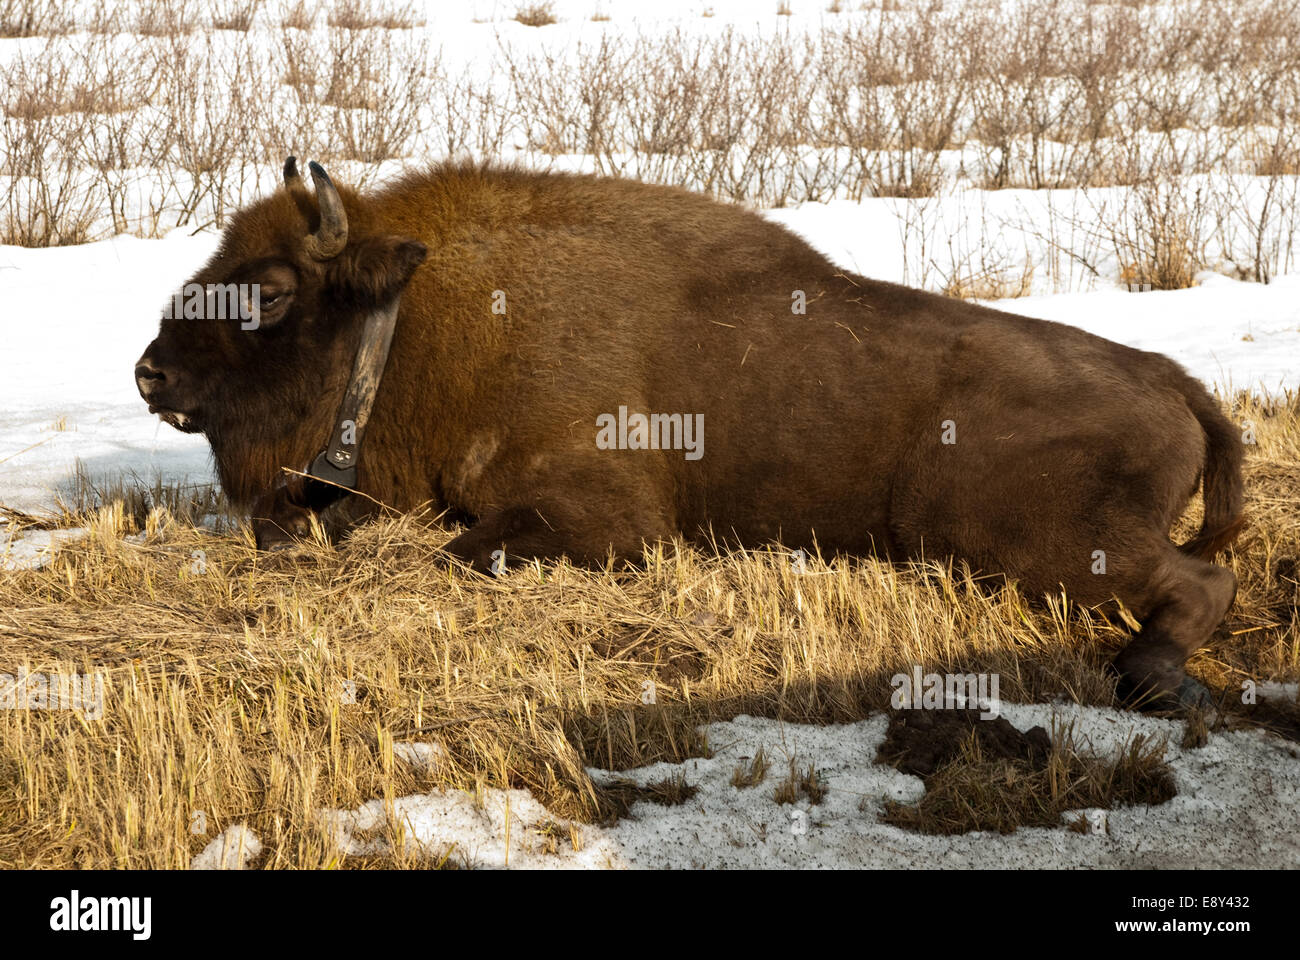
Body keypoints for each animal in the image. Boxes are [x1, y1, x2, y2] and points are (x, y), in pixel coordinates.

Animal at [135, 158, 1245, 710]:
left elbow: (461, 554)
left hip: (1027, 540)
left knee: (1199, 582)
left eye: (270, 289)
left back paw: (1146, 678)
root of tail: (1171, 377)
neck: (417, 318)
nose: (150, 374)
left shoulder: (599, 519)